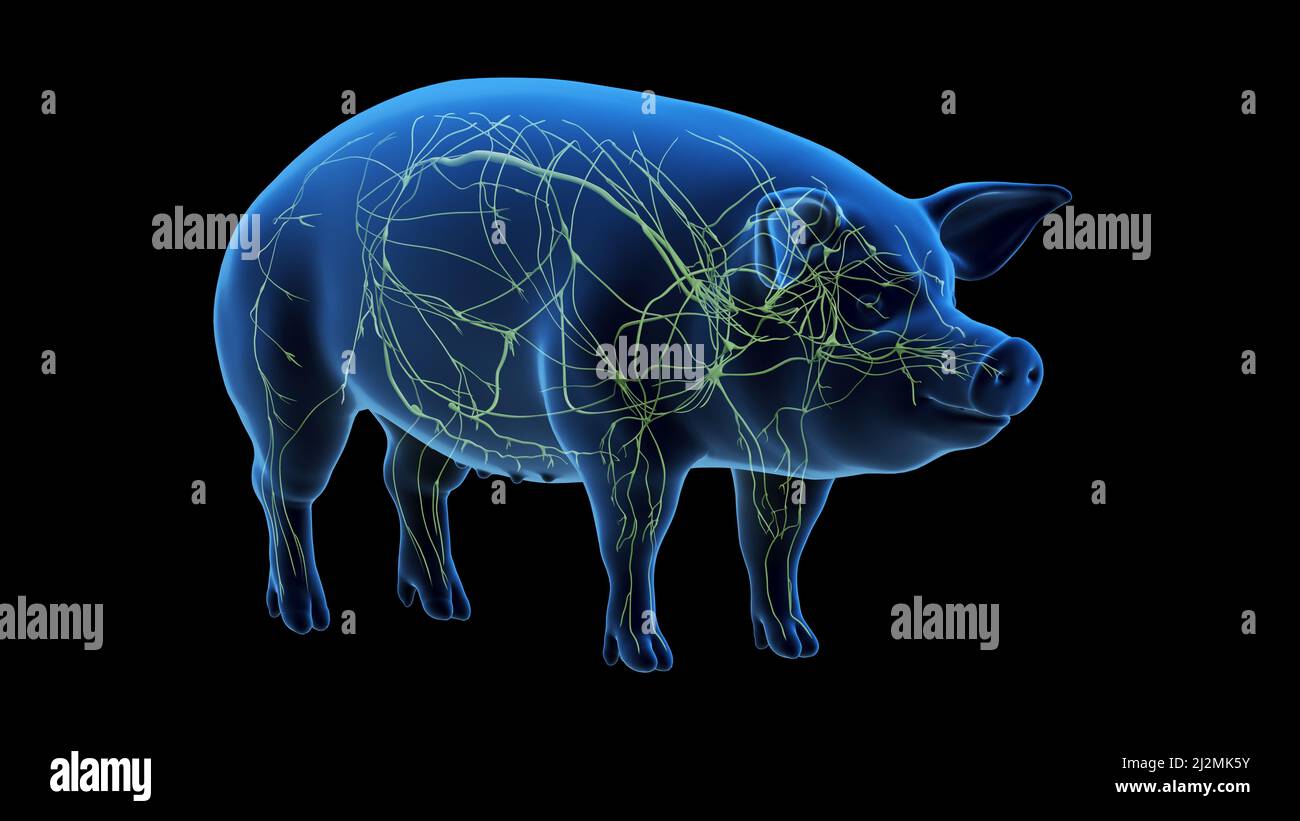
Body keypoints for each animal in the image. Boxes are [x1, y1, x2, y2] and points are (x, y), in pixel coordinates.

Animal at [214, 78, 1068, 671]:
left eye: (948, 290)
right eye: (866, 301)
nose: (1014, 353)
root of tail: (259, 205)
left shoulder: (785, 457)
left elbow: (774, 544)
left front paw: (798, 645)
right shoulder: (615, 425)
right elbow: (636, 533)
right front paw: (648, 659)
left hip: (438, 402)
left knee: (407, 474)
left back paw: (446, 607)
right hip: (286, 370)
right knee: (283, 482)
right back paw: (306, 615)